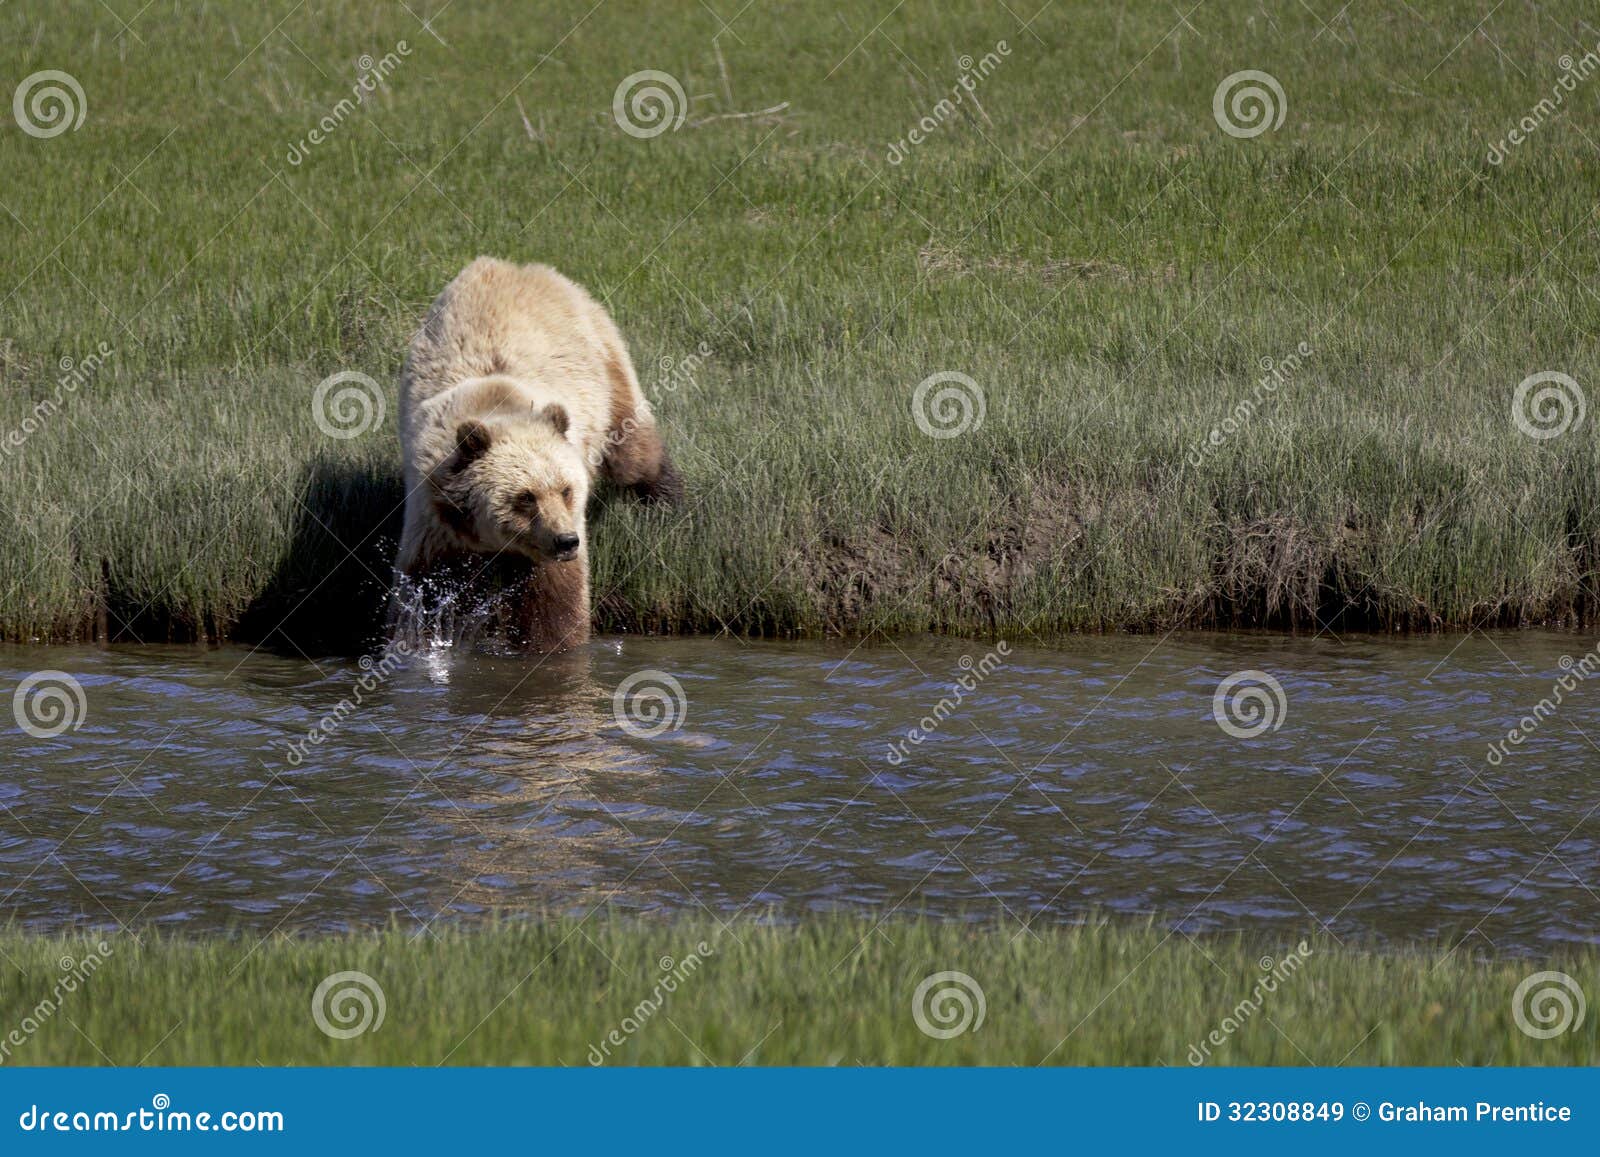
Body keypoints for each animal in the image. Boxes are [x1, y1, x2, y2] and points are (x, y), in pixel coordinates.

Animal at [394, 256, 681, 651]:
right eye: (525, 497)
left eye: (566, 489)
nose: (566, 540)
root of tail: (521, 266)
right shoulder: (434, 516)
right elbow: (422, 591)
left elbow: (555, 598)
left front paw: (553, 644)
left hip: (607, 369)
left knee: (634, 454)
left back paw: (666, 501)